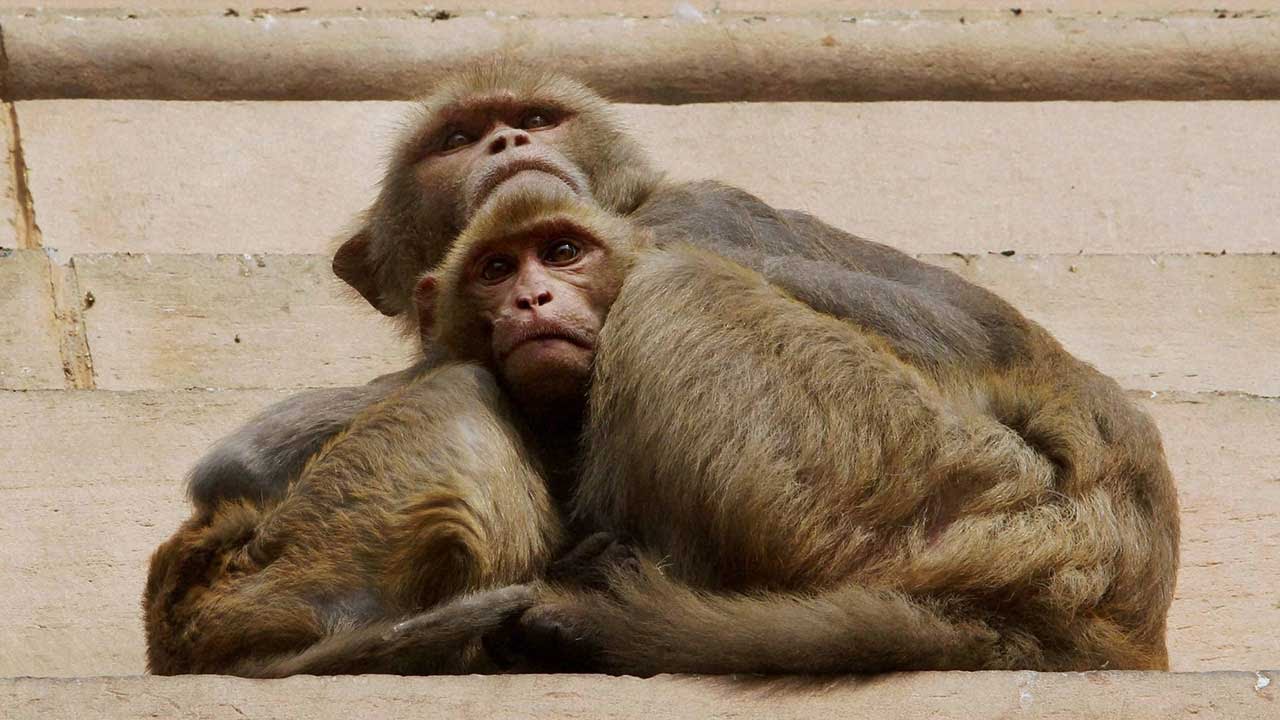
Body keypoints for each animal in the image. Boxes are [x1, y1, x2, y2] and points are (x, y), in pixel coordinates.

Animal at [413, 182, 1179, 674]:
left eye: (563, 251)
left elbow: (962, 327)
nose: (530, 297)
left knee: (680, 284)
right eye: (495, 268)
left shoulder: (698, 212)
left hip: (950, 493)